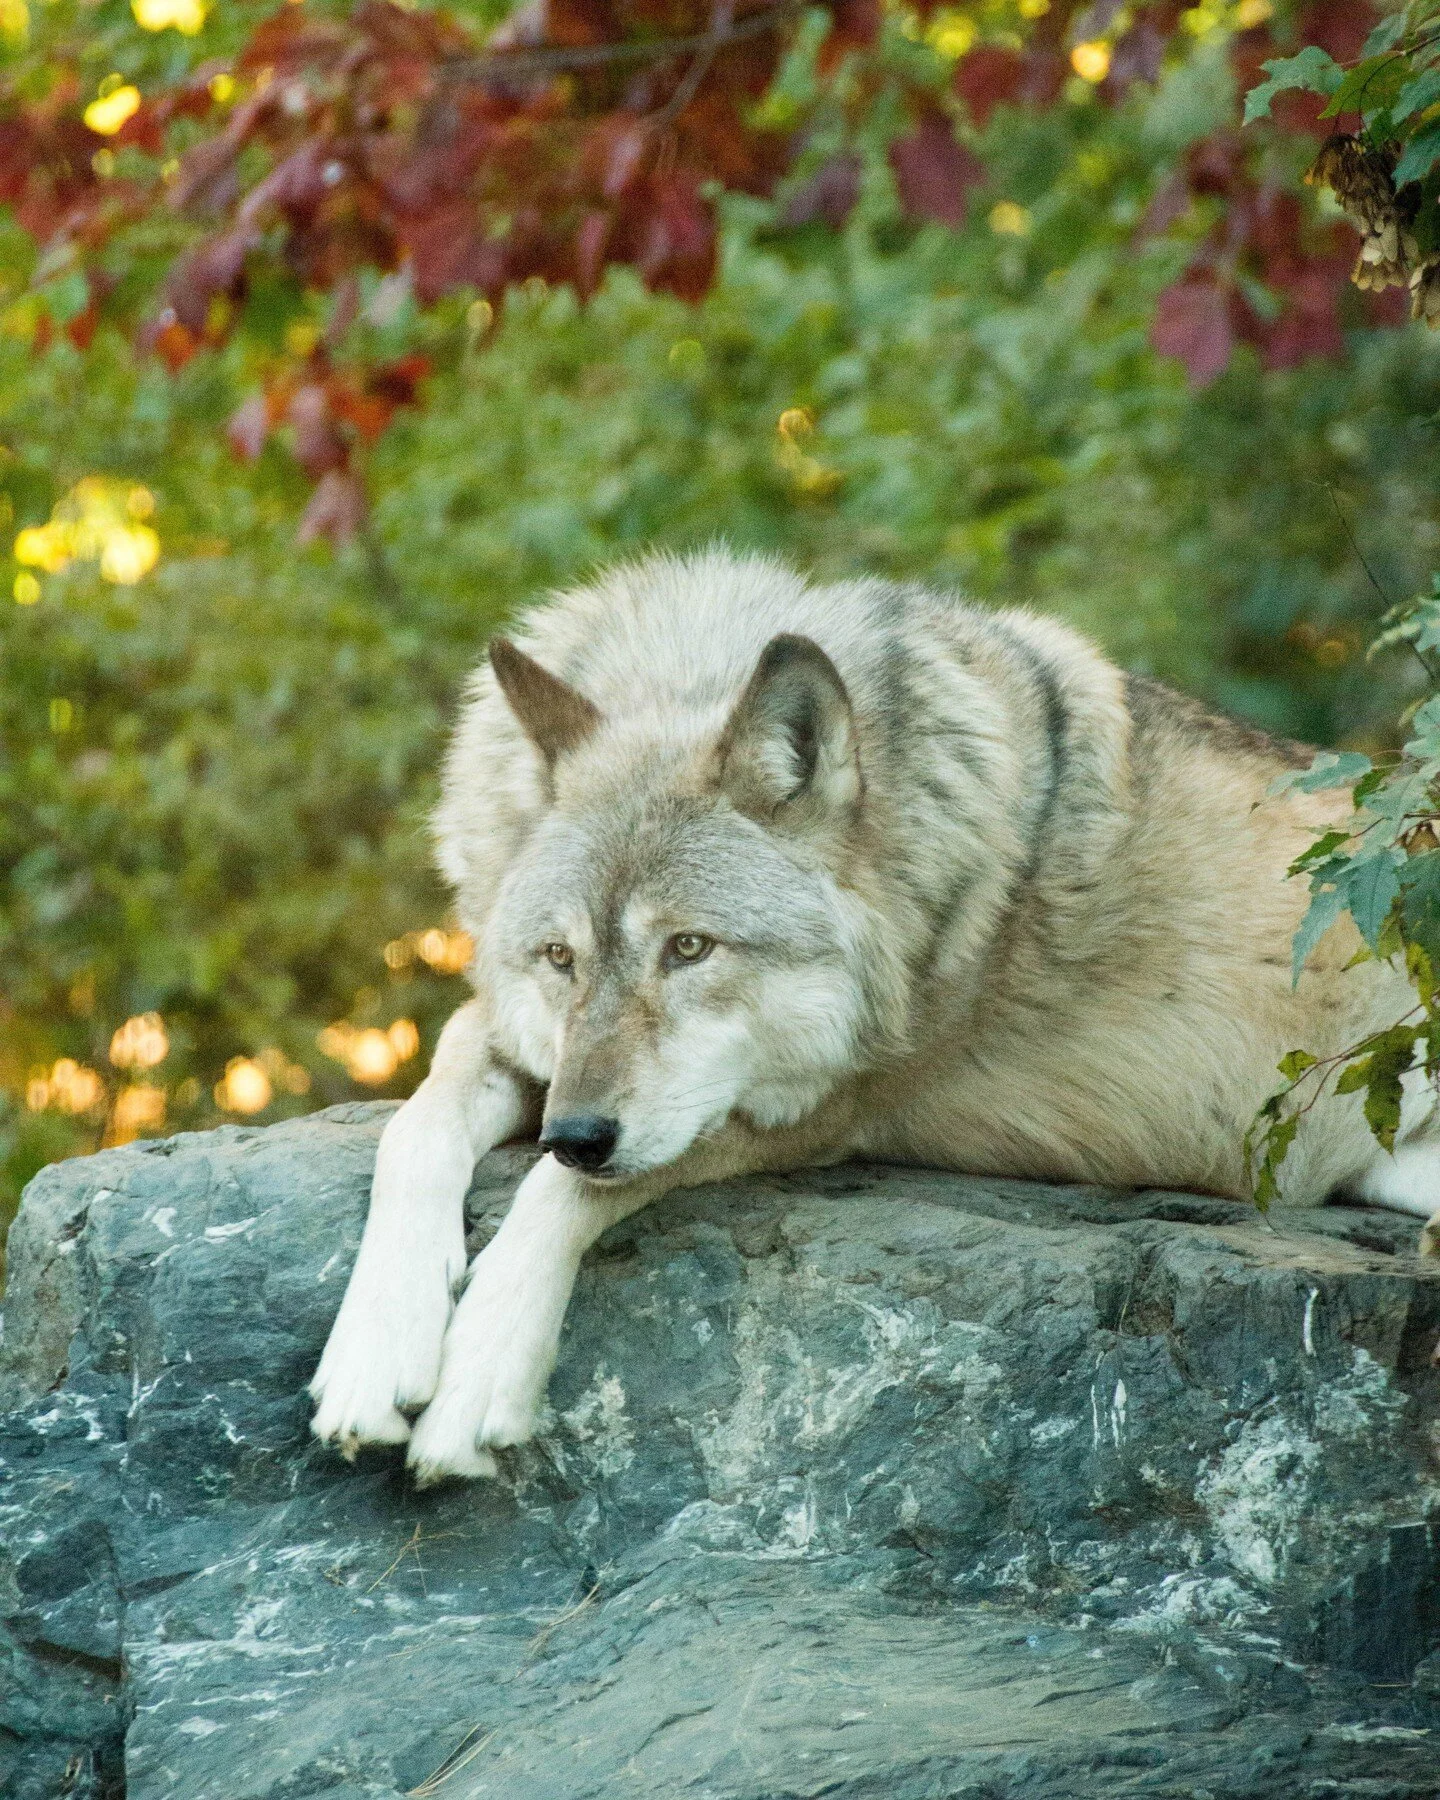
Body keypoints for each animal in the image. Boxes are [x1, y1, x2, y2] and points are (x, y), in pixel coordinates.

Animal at [310, 549, 1440, 1482]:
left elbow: (560, 1195)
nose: (579, 1130)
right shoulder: (513, 1033)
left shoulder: (822, 1110)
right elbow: (414, 1129)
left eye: (690, 949)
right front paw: (375, 1352)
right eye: (560, 959)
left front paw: (476, 1380)